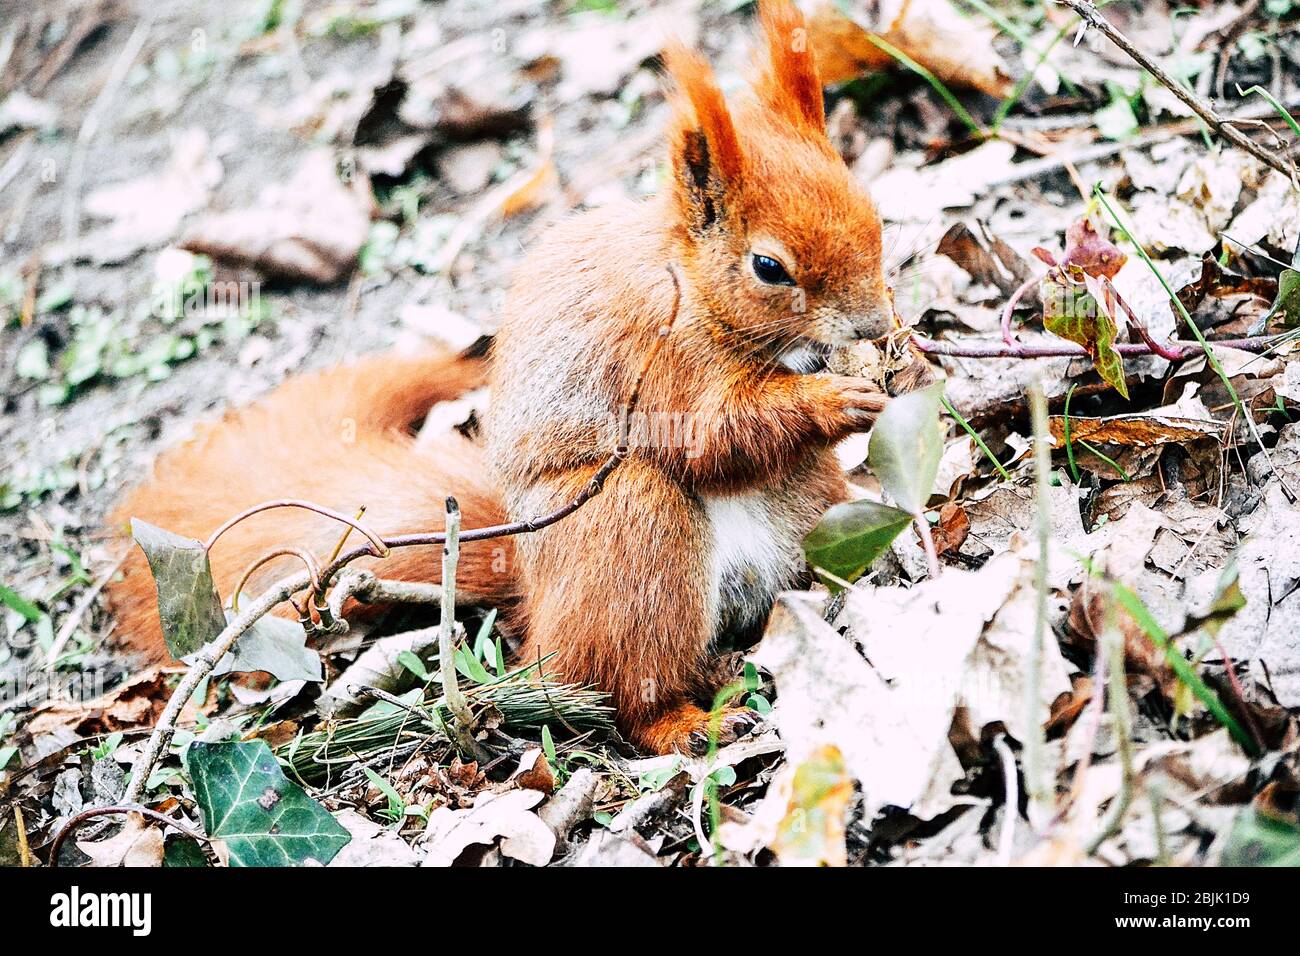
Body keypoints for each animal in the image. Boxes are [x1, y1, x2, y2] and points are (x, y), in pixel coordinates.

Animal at [106, 0, 894, 755]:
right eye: (768, 267)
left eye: (873, 213)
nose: (873, 325)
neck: (693, 293)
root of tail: (535, 595)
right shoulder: (653, 365)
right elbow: (709, 437)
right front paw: (831, 398)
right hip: (624, 530)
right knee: (622, 685)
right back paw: (683, 723)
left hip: (809, 510)